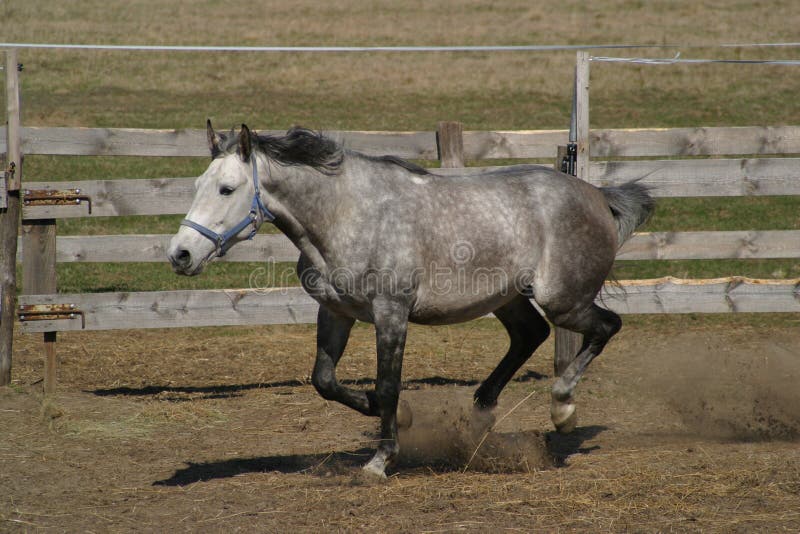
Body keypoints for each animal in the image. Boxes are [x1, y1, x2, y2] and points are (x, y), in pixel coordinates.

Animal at [167, 121, 655, 478]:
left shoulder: (391, 314)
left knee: (606, 326)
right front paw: (390, 416)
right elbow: (325, 380)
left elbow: (388, 383)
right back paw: (480, 415)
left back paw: (562, 409)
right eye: (196, 184)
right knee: (529, 335)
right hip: (506, 296)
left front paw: (380, 460)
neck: (348, 215)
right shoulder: (336, 312)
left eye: (227, 189)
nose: (180, 254)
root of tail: (597, 195)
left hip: (562, 300)